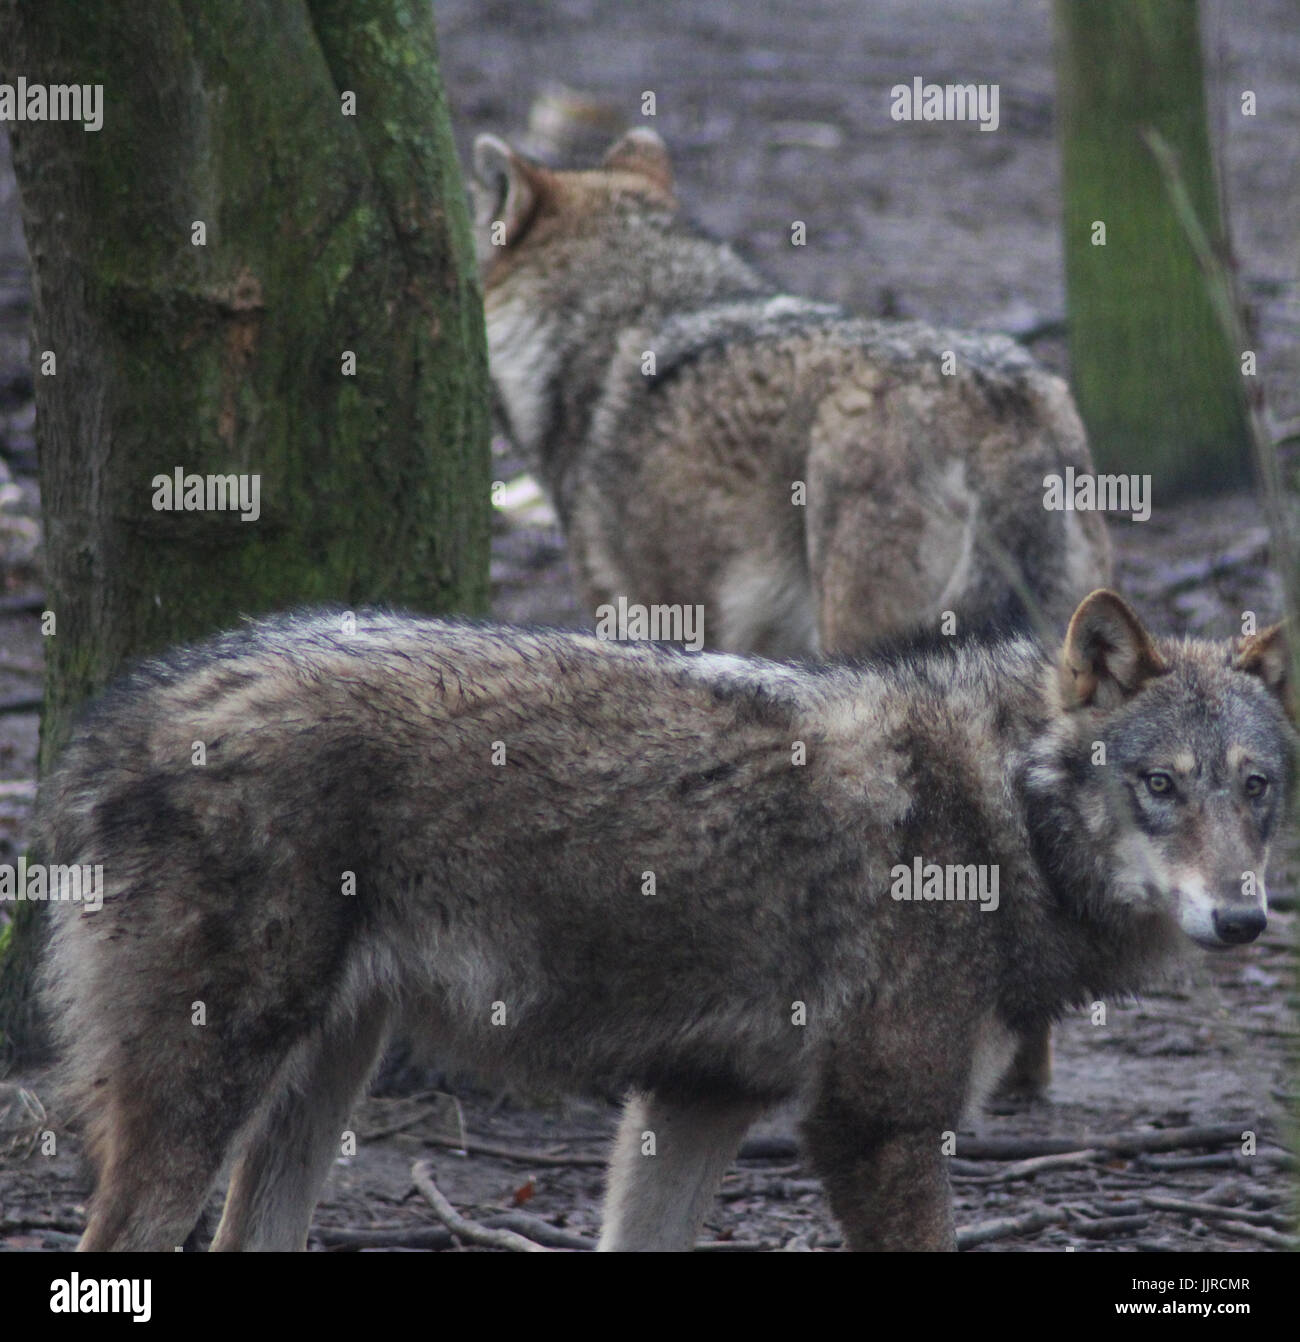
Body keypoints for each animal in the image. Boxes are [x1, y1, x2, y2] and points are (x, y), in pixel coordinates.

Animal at [38, 590, 1291, 1251]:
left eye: (1255, 786)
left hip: (319, 1082)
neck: (998, 813)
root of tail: (132, 709)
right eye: (1161, 785)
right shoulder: (872, 1127)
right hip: (209, 1089)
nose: (1242, 919)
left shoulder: (695, 1097)